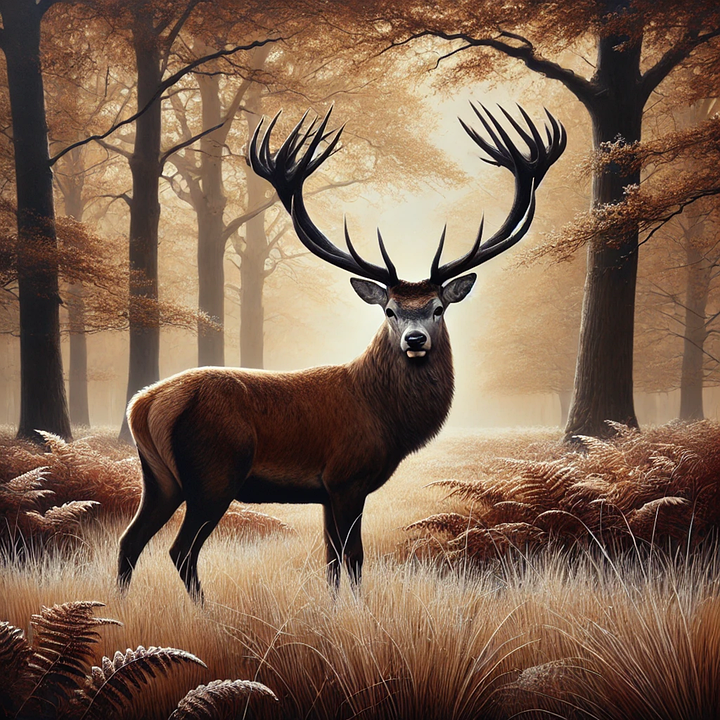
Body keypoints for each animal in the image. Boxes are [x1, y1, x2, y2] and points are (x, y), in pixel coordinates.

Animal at [117, 103, 566, 602]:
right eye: (390, 310)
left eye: (438, 307)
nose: (415, 340)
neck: (386, 418)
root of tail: (143, 404)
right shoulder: (347, 476)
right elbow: (353, 558)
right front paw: (357, 608)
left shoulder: (327, 490)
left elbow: (332, 560)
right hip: (212, 472)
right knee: (180, 550)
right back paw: (207, 613)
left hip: (158, 477)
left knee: (130, 540)